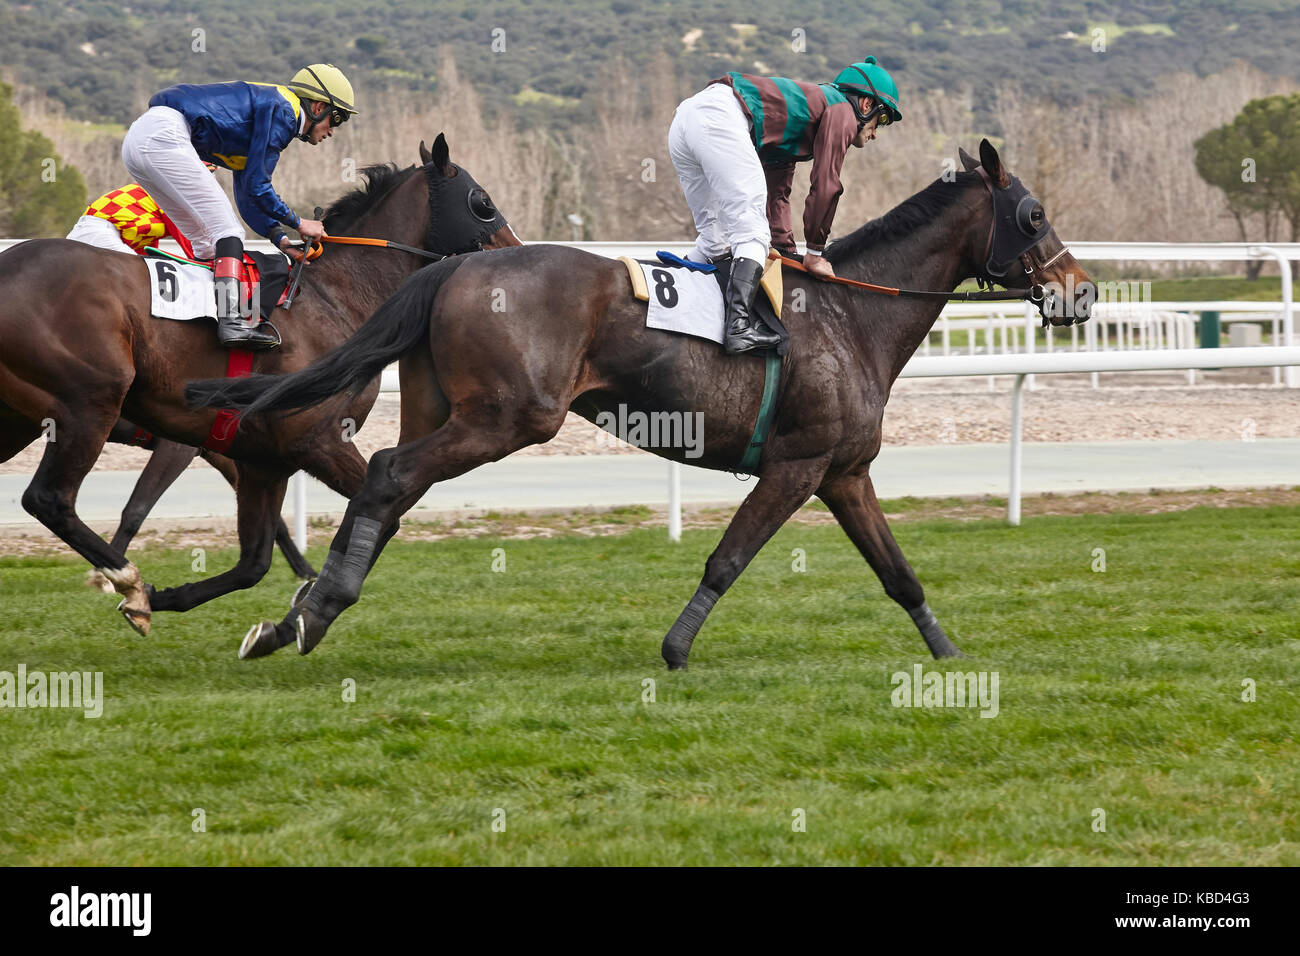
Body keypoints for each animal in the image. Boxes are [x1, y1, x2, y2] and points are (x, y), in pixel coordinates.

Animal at [0, 133, 519, 634]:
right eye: (483, 201)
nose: (515, 254)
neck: (333, 296)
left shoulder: (260, 456)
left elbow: (255, 560)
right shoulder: (316, 439)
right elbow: (381, 514)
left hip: (21, 418)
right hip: (90, 402)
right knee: (48, 498)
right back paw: (129, 583)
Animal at [188, 139, 1094, 666]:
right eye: (1033, 213)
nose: (1080, 290)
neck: (852, 317)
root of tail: (450, 267)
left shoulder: (844, 472)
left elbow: (898, 572)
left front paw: (947, 653)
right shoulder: (797, 466)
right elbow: (728, 557)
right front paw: (676, 648)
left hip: (447, 410)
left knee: (387, 487)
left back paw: (292, 618)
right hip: (507, 418)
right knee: (384, 475)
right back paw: (311, 615)